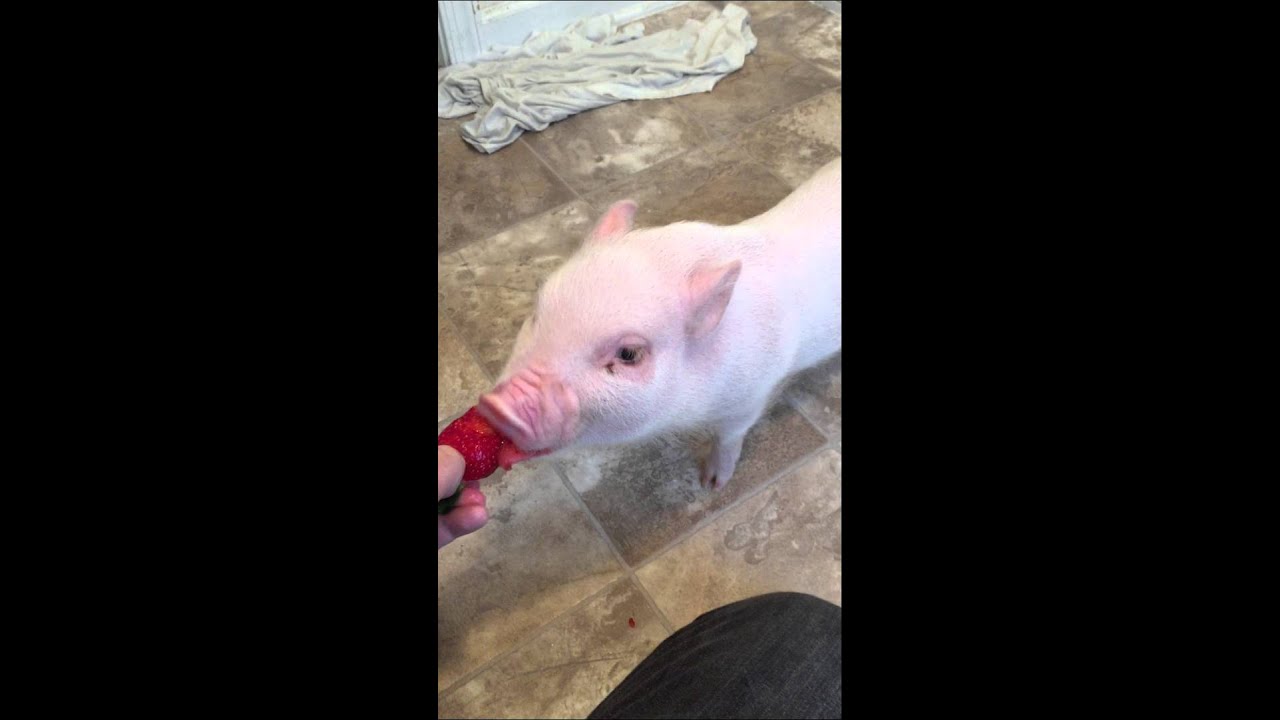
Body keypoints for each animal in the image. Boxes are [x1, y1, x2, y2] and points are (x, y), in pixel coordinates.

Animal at [479, 156, 841, 489]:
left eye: (628, 354)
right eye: (537, 312)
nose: (496, 405)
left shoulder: (752, 394)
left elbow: (729, 435)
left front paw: (712, 484)